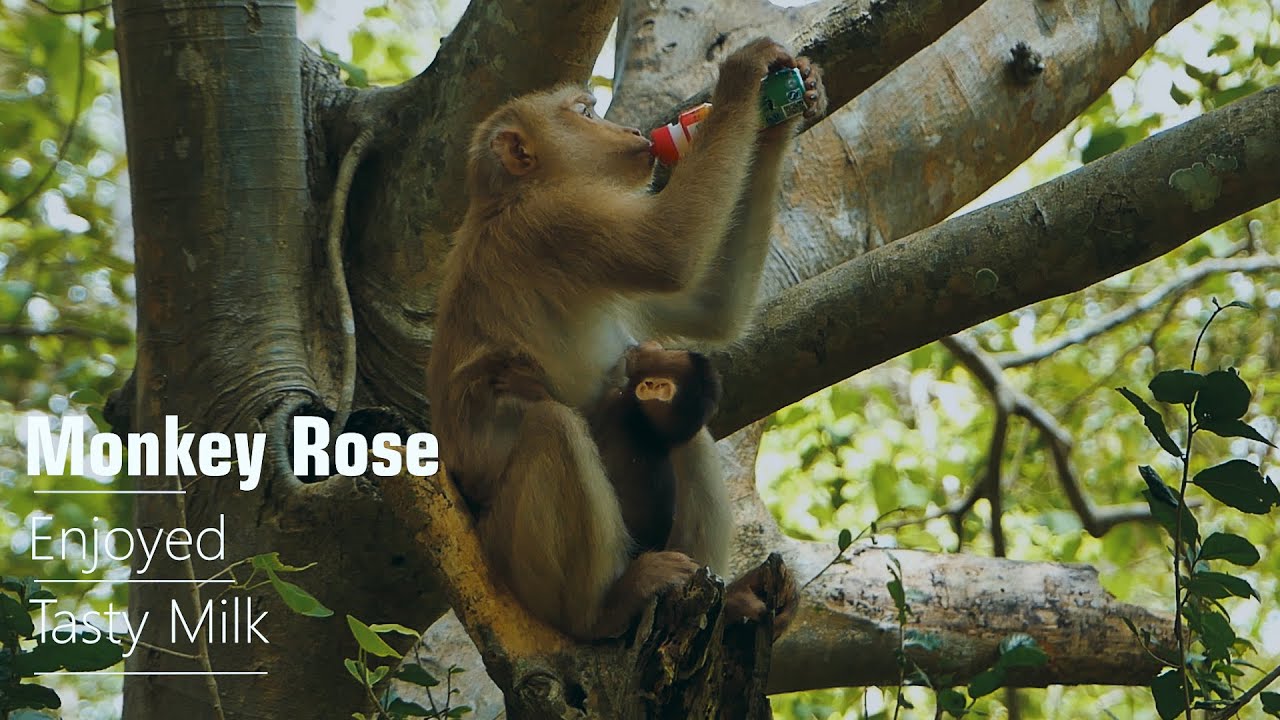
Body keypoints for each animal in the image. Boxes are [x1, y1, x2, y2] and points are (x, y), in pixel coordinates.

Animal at [426, 37, 827, 641]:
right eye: (585, 113)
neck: (516, 198)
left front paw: (789, 100)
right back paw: (602, 610)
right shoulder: (558, 221)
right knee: (553, 426)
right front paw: (742, 80)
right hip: (513, 567)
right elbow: (668, 250)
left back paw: (730, 596)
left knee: (684, 435)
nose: (633, 130)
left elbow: (711, 310)